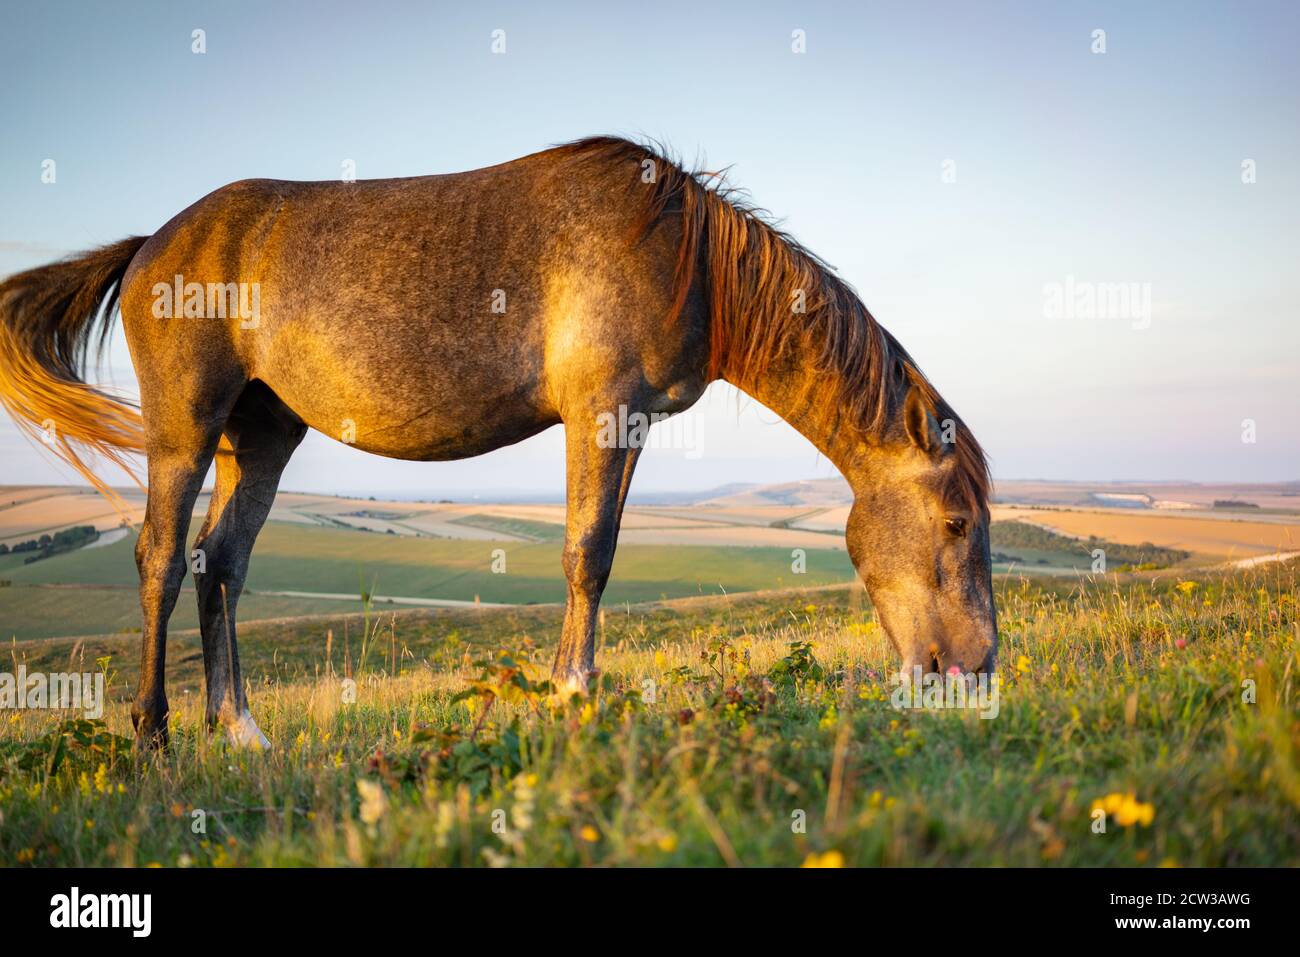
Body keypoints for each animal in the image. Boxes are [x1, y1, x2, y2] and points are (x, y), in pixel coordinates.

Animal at [0, 137, 996, 749]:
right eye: (955, 523)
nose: (977, 666)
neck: (689, 259)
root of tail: (150, 244)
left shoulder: (628, 421)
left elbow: (600, 552)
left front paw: (573, 686)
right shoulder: (602, 410)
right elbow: (587, 553)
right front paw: (573, 693)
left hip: (264, 435)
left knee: (223, 563)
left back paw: (240, 730)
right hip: (187, 426)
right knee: (162, 558)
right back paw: (154, 732)